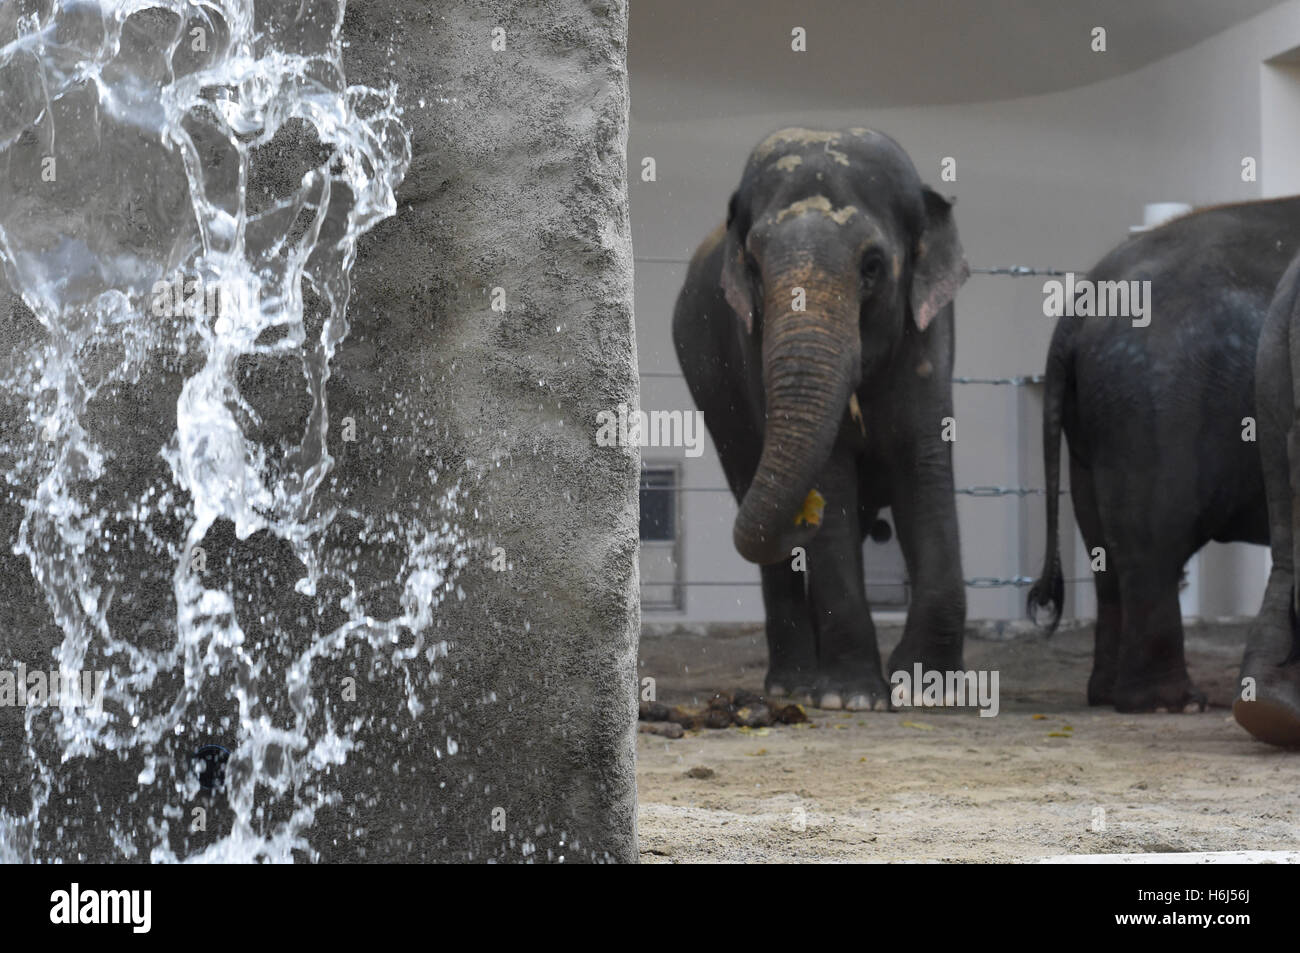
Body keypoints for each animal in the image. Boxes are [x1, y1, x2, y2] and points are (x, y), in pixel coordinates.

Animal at [671, 127, 969, 711]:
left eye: (872, 266)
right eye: (754, 268)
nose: (801, 520)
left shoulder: (929, 334)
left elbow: (923, 466)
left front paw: (926, 690)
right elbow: (831, 477)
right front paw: (850, 698)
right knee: (747, 476)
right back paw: (795, 684)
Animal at [1029, 196, 1300, 713]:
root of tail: (1081, 306)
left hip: (1098, 423)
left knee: (1106, 552)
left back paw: (1107, 694)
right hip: (1157, 404)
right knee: (1152, 542)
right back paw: (1171, 702)